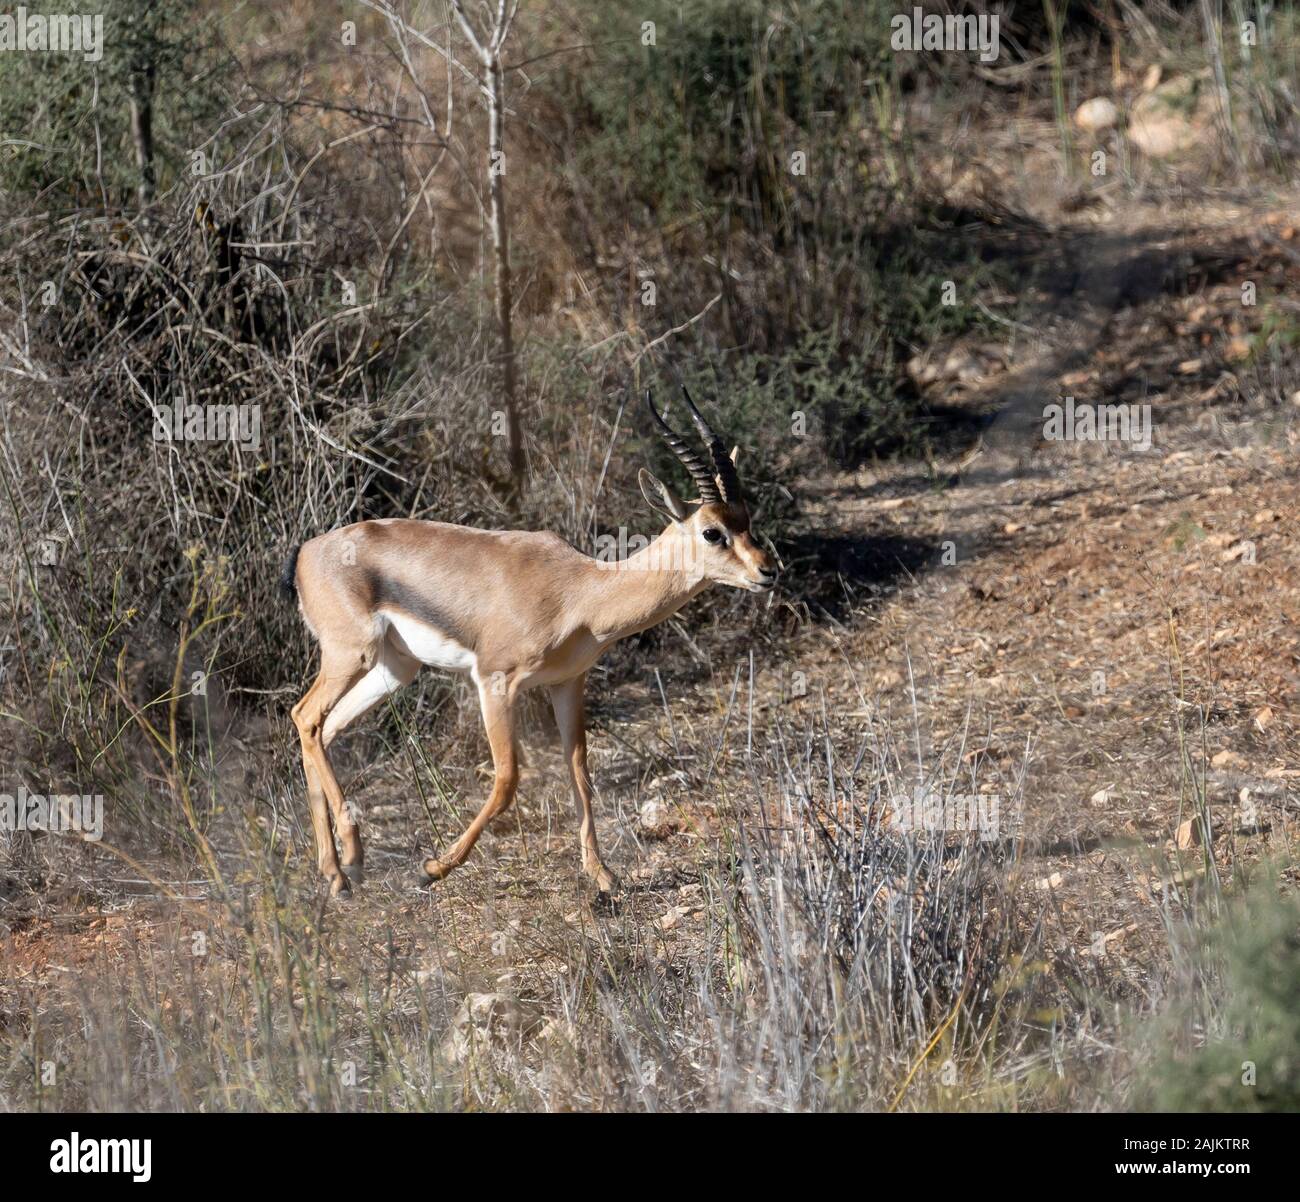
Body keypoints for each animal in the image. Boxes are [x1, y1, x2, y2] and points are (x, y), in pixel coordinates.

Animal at [282, 390, 778, 897]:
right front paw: (433, 867)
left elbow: (580, 771)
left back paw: (337, 872)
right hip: (350, 654)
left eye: (747, 519)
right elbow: (507, 779)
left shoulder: (567, 683)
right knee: (305, 717)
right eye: (712, 532)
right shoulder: (495, 680)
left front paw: (601, 873)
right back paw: (350, 862)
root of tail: (306, 553)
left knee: (322, 728)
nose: (768, 570)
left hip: (393, 669)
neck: (581, 593)